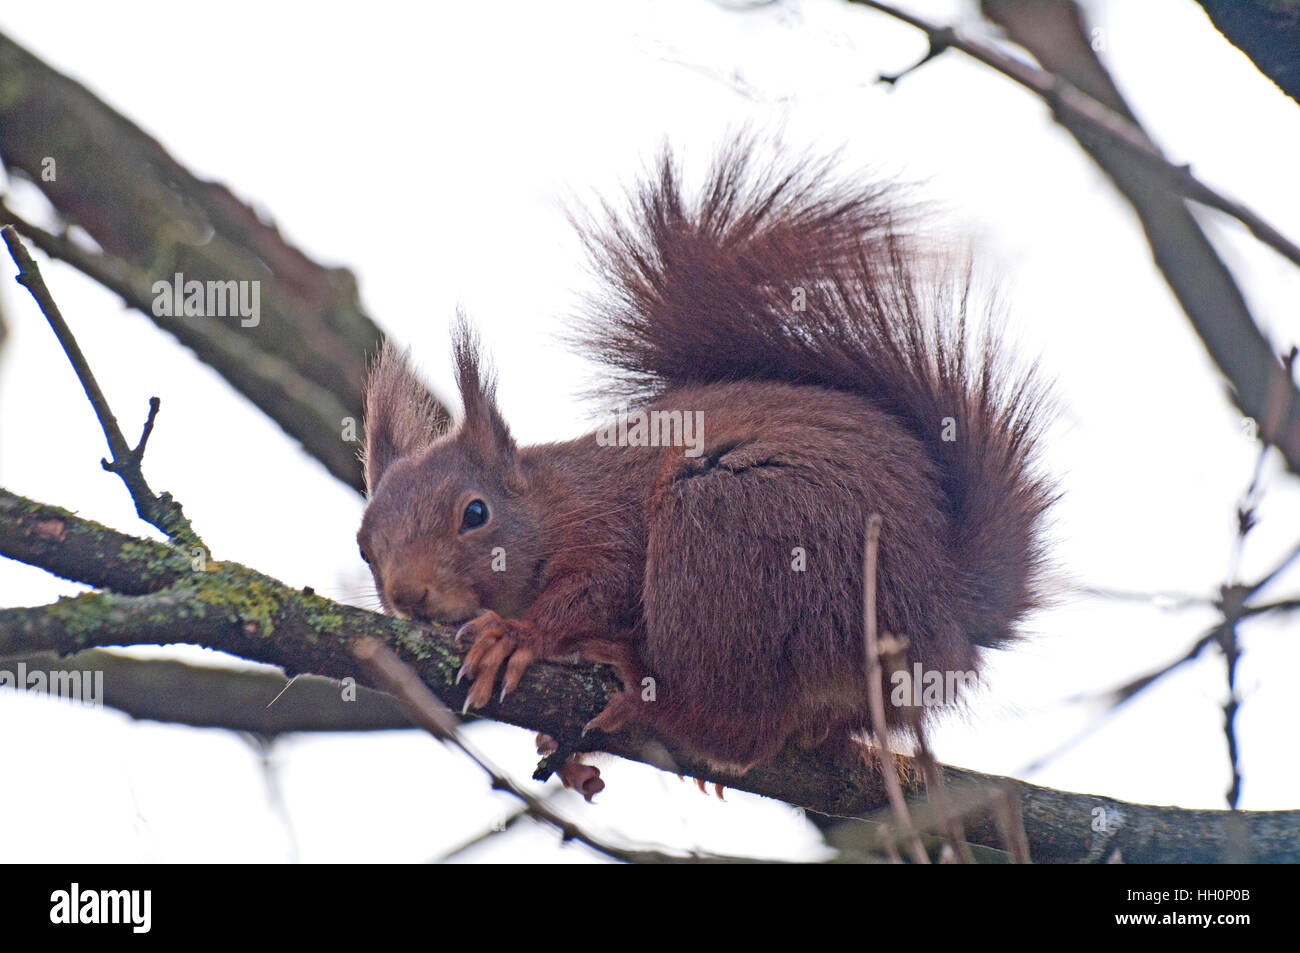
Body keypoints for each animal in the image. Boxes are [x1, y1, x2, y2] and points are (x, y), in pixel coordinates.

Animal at [357, 137, 1054, 800]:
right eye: (365, 546)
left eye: (475, 513)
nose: (407, 596)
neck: (550, 502)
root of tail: (951, 609)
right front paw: (560, 748)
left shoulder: (608, 524)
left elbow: (598, 586)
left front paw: (517, 634)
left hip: (728, 526)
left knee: (735, 732)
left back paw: (647, 697)